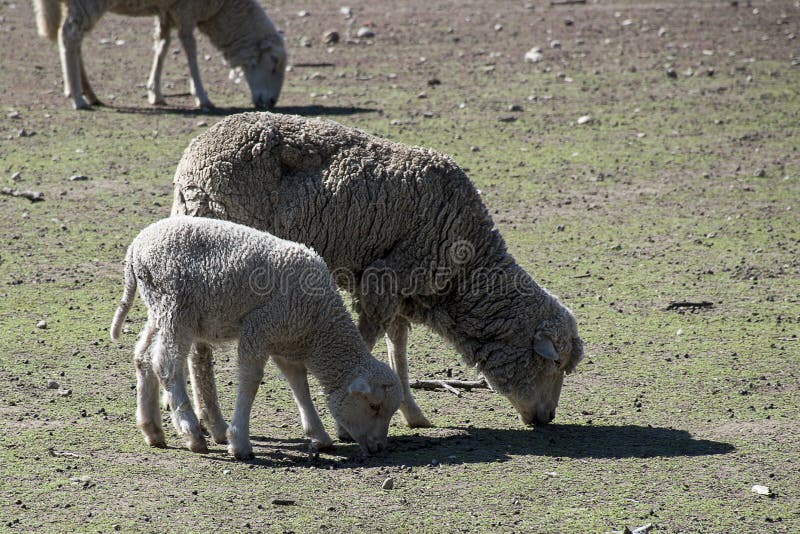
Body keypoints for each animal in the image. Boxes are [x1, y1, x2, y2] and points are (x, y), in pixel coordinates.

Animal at [32, 0, 286, 110]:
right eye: (274, 64)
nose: (271, 103)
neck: (224, 11)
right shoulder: (185, 10)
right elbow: (189, 47)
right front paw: (201, 95)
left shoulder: (168, 11)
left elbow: (163, 45)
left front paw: (155, 92)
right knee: (69, 35)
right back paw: (78, 97)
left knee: (74, 40)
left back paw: (87, 92)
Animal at [109, 216, 403, 459]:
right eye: (374, 406)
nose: (378, 448)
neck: (318, 327)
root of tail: (136, 247)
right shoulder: (258, 328)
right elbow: (250, 381)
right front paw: (239, 442)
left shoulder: (285, 341)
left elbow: (299, 385)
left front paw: (319, 435)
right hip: (175, 307)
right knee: (166, 365)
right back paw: (191, 433)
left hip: (159, 310)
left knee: (143, 357)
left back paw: (152, 430)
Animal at [171, 112, 585, 432]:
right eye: (554, 364)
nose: (548, 418)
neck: (465, 271)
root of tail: (193, 158)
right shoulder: (383, 280)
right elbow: (369, 340)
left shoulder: (400, 291)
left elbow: (396, 347)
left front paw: (412, 412)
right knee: (200, 350)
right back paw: (213, 424)